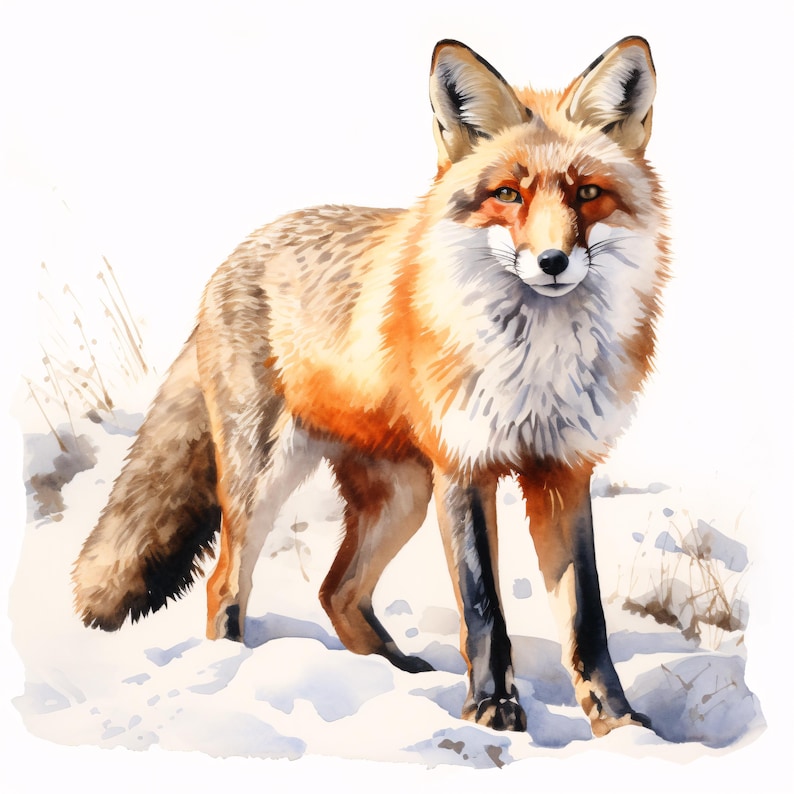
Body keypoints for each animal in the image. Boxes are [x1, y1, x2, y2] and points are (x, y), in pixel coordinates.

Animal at [73, 36, 668, 737]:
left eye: (587, 193)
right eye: (507, 194)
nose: (552, 262)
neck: (537, 363)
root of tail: (239, 252)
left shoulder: (563, 472)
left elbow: (586, 620)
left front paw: (619, 725)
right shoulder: (463, 466)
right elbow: (484, 609)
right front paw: (491, 709)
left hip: (403, 496)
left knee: (336, 591)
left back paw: (396, 676)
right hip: (268, 478)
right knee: (227, 583)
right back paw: (233, 671)